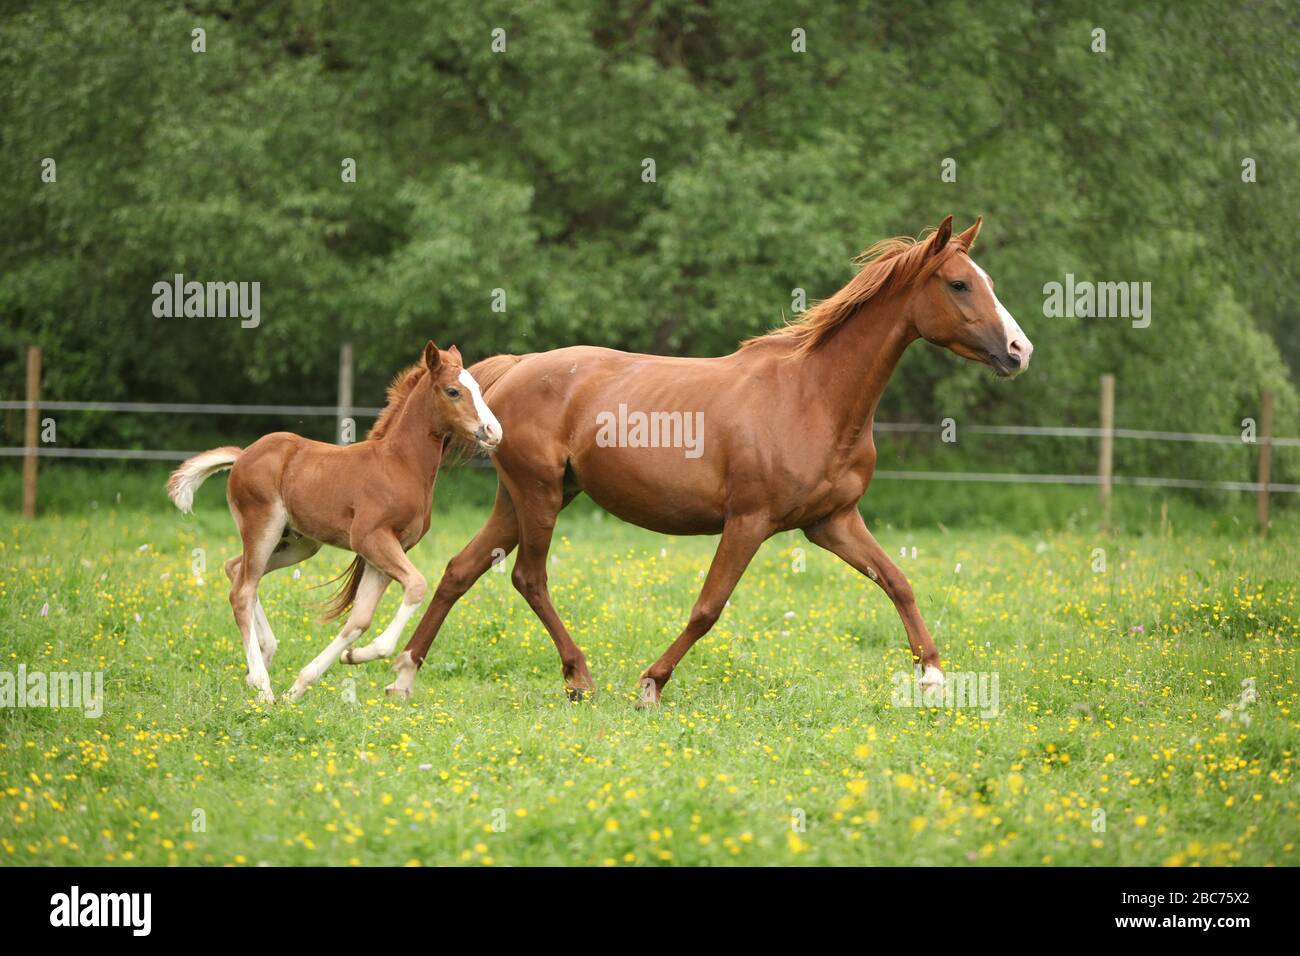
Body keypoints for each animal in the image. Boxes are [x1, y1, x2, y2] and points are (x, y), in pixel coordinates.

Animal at [166, 342, 502, 704]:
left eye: (479, 388)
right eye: (453, 391)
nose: (493, 432)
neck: (400, 464)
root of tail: (243, 455)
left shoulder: (387, 552)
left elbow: (359, 619)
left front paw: (318, 675)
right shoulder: (371, 539)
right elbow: (415, 586)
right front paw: (370, 656)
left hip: (298, 544)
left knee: (235, 570)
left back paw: (265, 657)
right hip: (263, 527)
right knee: (242, 591)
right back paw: (262, 684)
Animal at [383, 216, 1033, 706]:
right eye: (959, 284)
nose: (1019, 351)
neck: (814, 397)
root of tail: (516, 369)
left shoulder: (833, 522)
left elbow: (899, 581)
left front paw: (934, 677)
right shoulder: (749, 521)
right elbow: (707, 609)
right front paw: (650, 684)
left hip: (527, 499)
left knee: (461, 570)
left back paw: (405, 675)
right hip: (538, 496)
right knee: (528, 578)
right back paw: (579, 679)